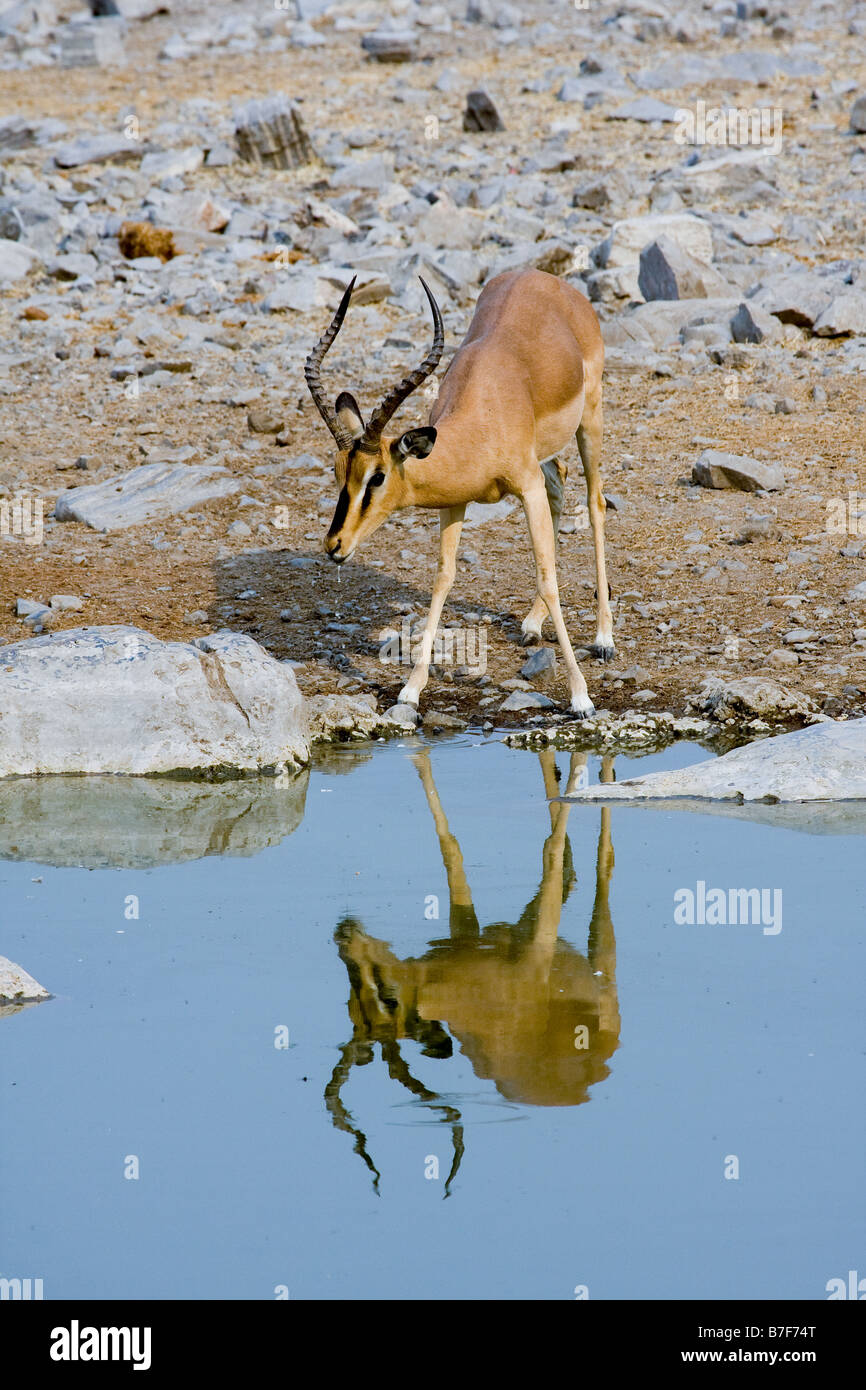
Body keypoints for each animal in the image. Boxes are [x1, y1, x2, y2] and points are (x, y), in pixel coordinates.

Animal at [304, 268, 614, 717]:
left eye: (377, 476)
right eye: (337, 470)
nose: (335, 545)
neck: (482, 417)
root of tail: (547, 278)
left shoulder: (526, 486)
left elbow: (548, 576)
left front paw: (581, 697)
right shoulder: (455, 503)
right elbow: (443, 577)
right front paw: (411, 690)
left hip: (590, 418)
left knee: (594, 502)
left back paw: (604, 639)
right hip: (546, 460)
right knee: (559, 481)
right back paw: (531, 625)